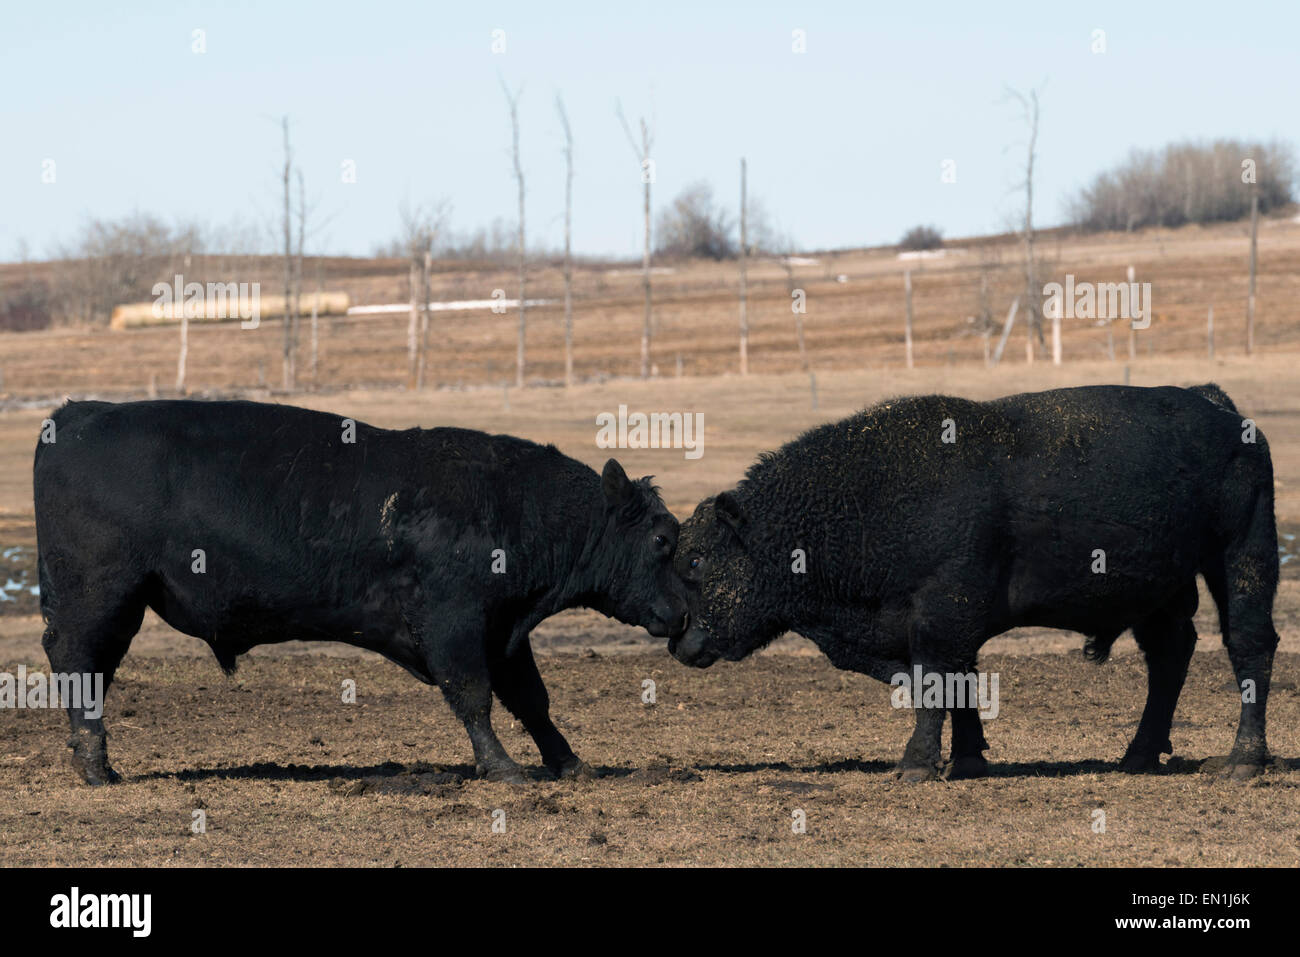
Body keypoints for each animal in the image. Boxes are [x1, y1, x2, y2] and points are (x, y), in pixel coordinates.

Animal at [35, 399, 688, 785]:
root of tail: (79, 413)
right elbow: (473, 696)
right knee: (79, 661)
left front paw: (569, 762)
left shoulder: (503, 630)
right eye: (662, 539)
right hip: (99, 595)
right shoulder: (454, 624)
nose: (686, 615)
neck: (509, 503)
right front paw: (503, 768)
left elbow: (532, 699)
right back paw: (96, 767)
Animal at [669, 384, 1280, 782]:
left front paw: (916, 765)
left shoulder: (941, 613)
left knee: (1250, 645)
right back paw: (1138, 756)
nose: (679, 640)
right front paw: (967, 759)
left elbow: (935, 683)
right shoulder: (950, 622)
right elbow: (960, 683)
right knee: (1169, 657)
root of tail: (1222, 410)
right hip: (1161, 593)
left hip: (1241, 558)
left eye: (696, 561)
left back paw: (1242, 761)